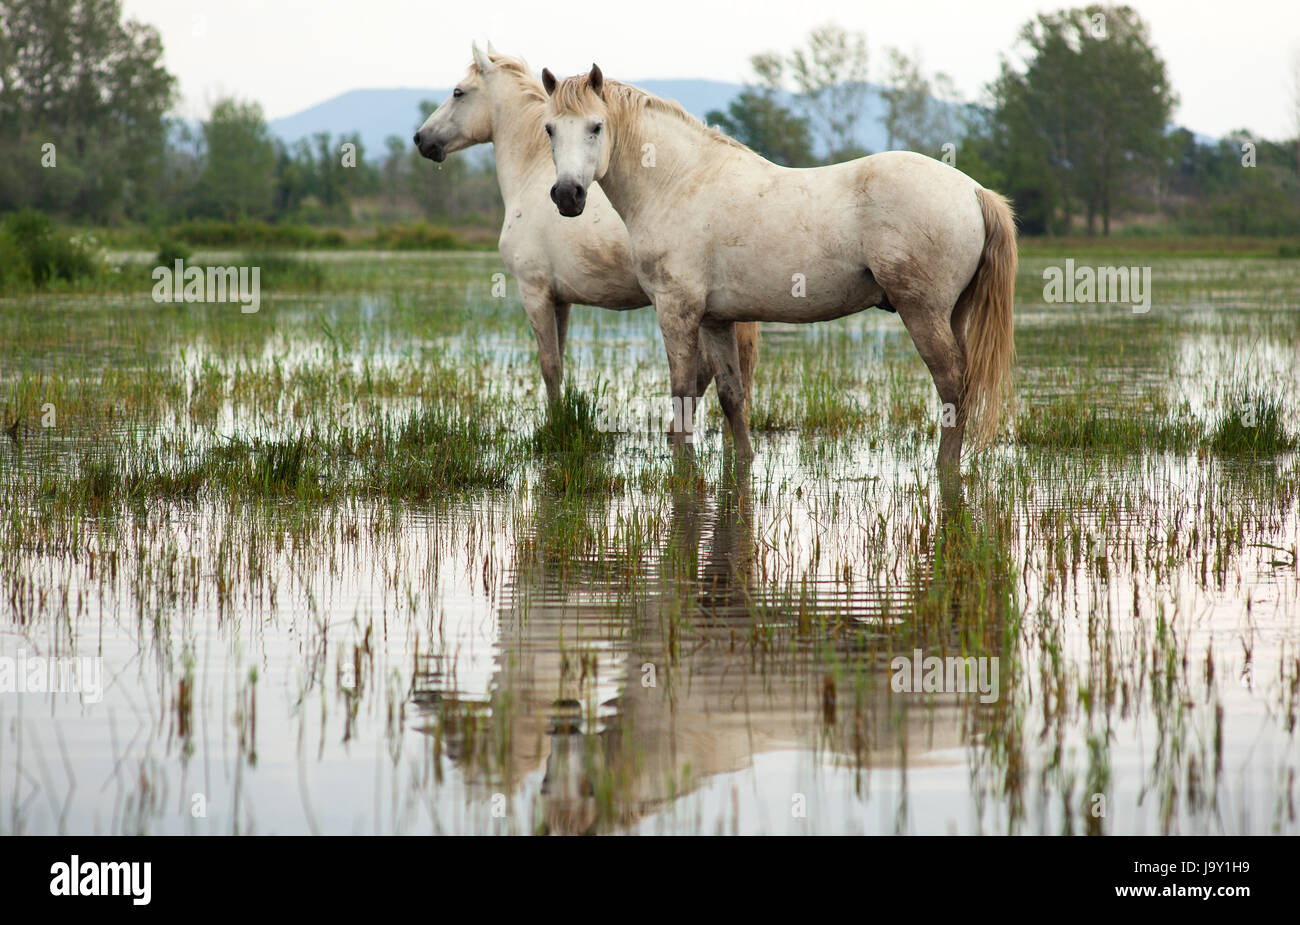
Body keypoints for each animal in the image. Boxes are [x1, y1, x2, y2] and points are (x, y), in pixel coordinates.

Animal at [413, 44, 760, 420]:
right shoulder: (560, 299)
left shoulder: (534, 291)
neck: (530, 173)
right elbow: (560, 361)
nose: (421, 139)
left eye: (458, 92)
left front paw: (554, 424)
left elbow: (549, 366)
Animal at [539, 64, 1017, 473]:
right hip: (952, 314)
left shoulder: (677, 311)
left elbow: (682, 395)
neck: (679, 183)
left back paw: (944, 469)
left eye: (596, 127)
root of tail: (974, 191)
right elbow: (732, 396)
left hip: (923, 313)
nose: (567, 195)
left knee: (952, 385)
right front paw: (744, 462)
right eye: (549, 129)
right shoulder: (715, 320)